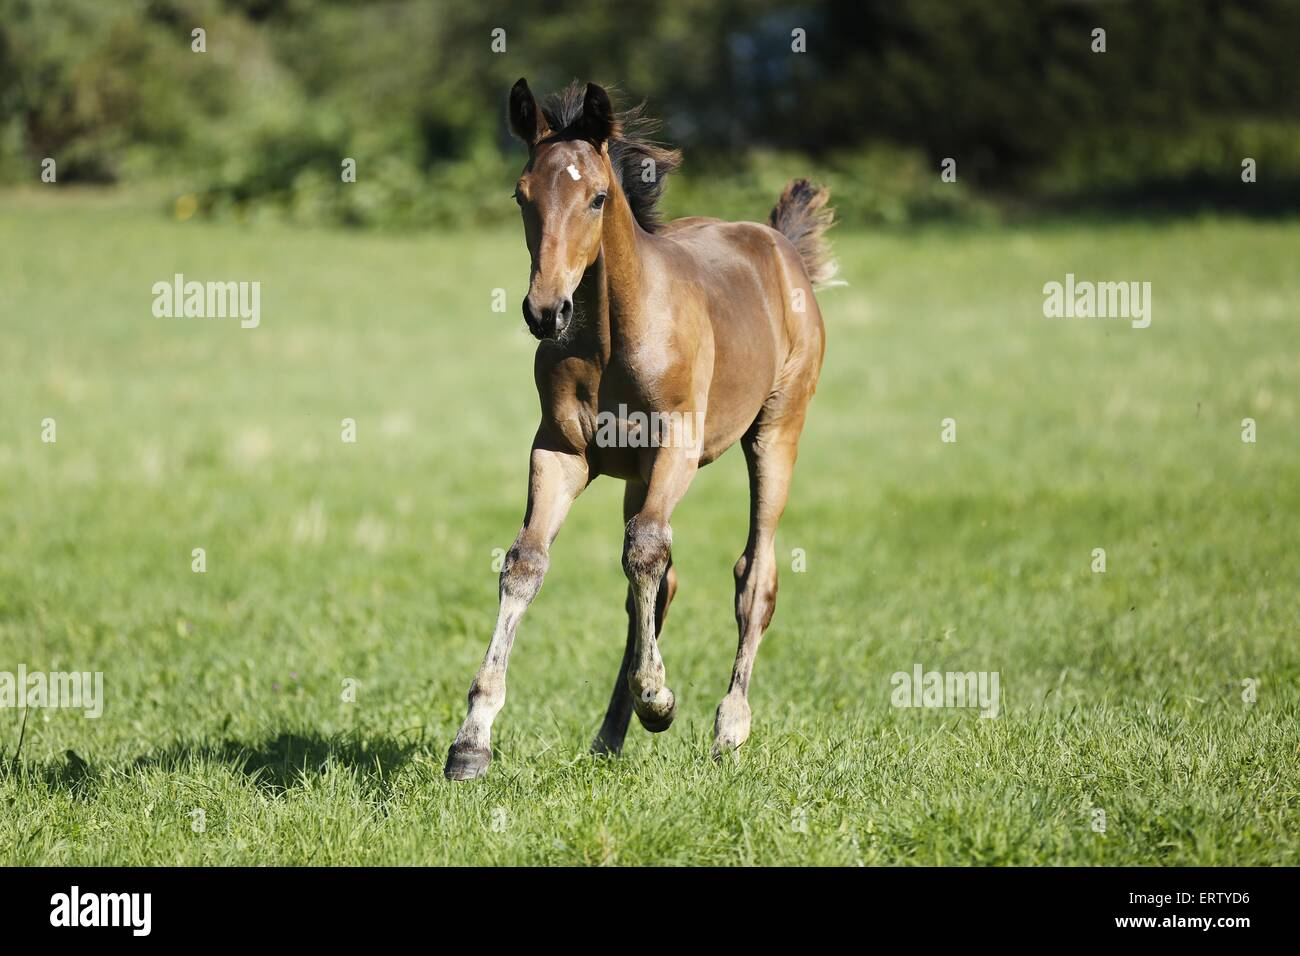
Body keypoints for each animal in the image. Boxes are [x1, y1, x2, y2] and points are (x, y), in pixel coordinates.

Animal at [445, 79, 835, 780]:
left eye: (597, 197)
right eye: (522, 195)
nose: (545, 311)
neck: (610, 336)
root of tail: (779, 243)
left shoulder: (675, 446)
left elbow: (647, 550)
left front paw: (659, 697)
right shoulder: (560, 452)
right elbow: (526, 563)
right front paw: (471, 741)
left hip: (776, 432)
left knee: (754, 574)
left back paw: (729, 725)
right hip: (633, 475)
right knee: (653, 589)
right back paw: (611, 733)